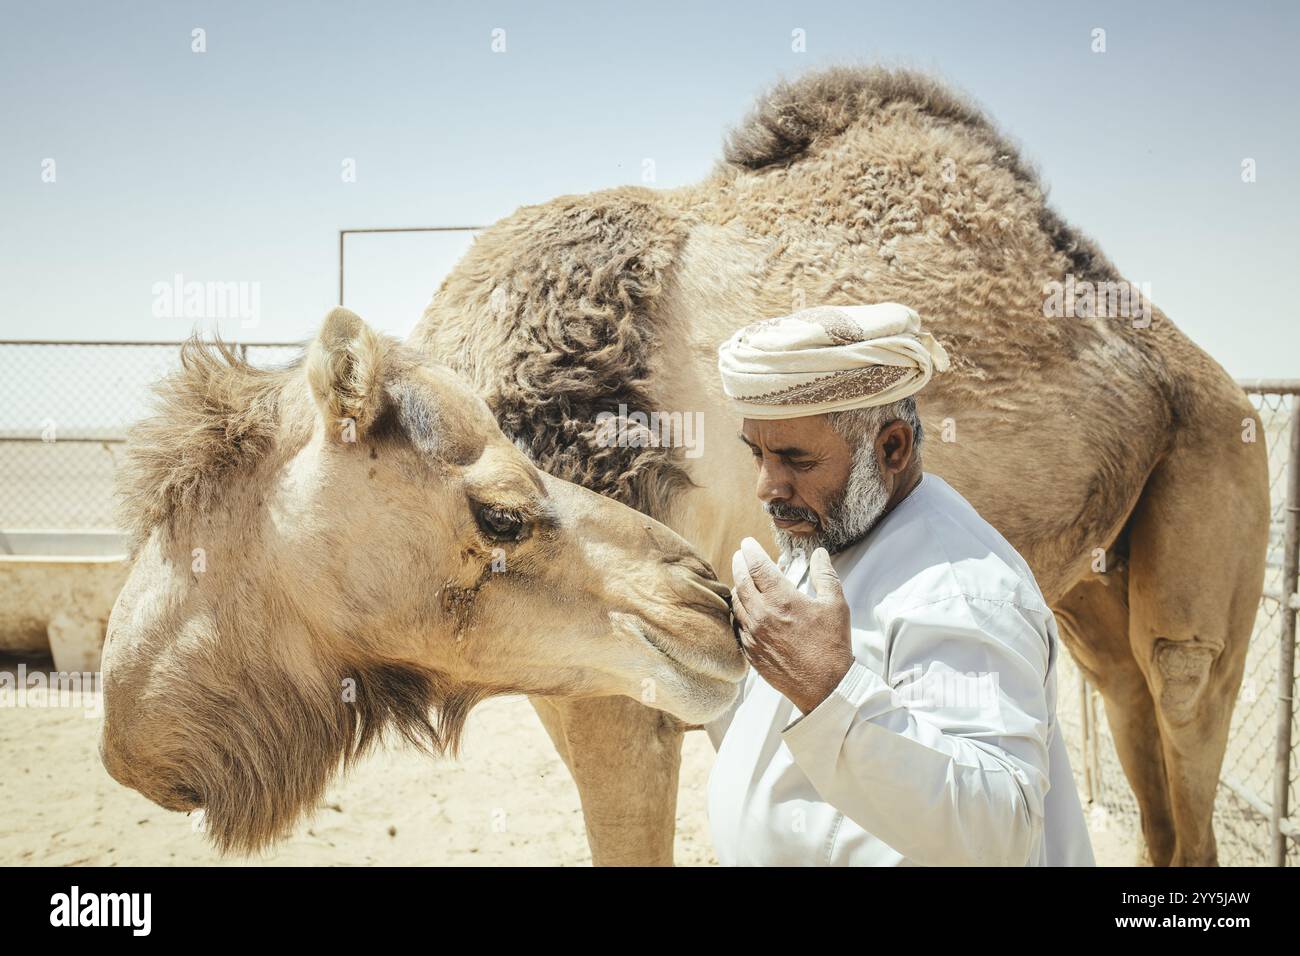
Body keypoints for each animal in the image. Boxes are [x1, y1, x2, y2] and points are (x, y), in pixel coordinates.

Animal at [411, 65, 1270, 866]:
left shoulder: (628, 659)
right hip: (1099, 557)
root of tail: (1205, 373)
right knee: (1121, 682)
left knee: (1182, 672)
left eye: (793, 453)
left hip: (1222, 450)